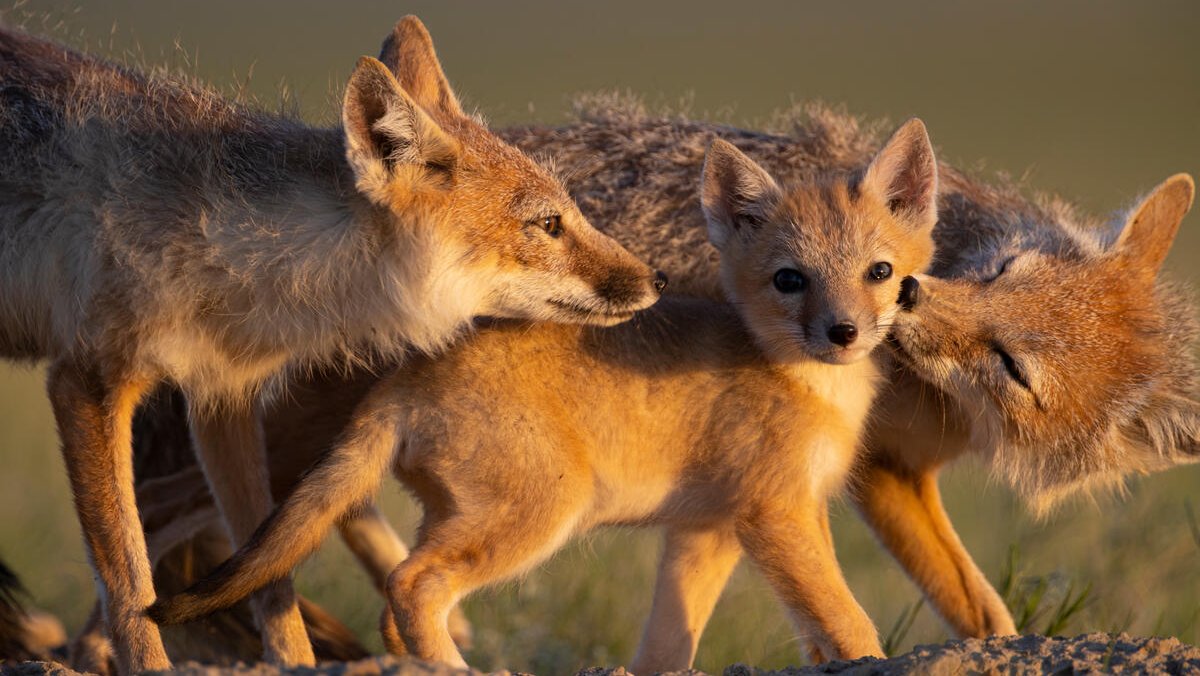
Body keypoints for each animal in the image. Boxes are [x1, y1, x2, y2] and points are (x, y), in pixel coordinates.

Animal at [0, 17, 665, 673]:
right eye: (549, 224)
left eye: (571, 212)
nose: (656, 280)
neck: (230, 247)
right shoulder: (88, 379)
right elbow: (129, 580)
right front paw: (148, 663)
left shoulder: (222, 396)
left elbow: (269, 573)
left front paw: (295, 661)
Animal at [143, 119, 942, 670]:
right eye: (789, 280)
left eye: (879, 272)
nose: (842, 332)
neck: (809, 385)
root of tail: (406, 379)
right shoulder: (776, 515)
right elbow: (848, 624)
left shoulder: (710, 530)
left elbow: (671, 646)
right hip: (537, 516)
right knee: (411, 585)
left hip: (470, 517)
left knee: (395, 609)